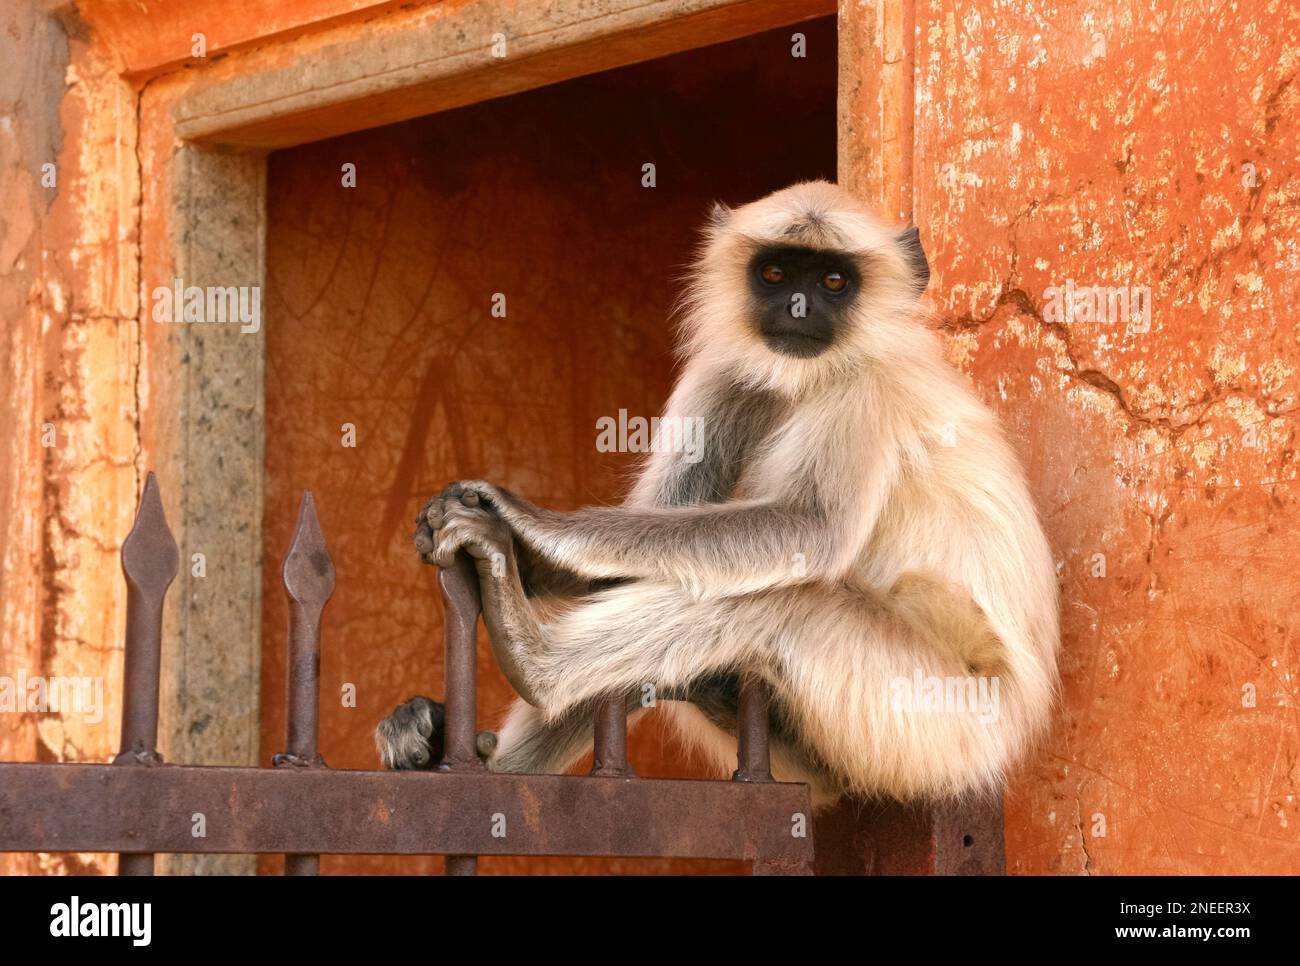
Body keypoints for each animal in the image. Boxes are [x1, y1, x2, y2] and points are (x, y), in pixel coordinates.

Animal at [376, 180, 1059, 807]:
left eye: (834, 281)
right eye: (776, 274)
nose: (800, 308)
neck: (809, 376)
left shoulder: (870, 389)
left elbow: (811, 529)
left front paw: (527, 525)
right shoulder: (726, 375)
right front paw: (517, 549)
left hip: (940, 721)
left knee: (781, 602)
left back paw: (533, 660)